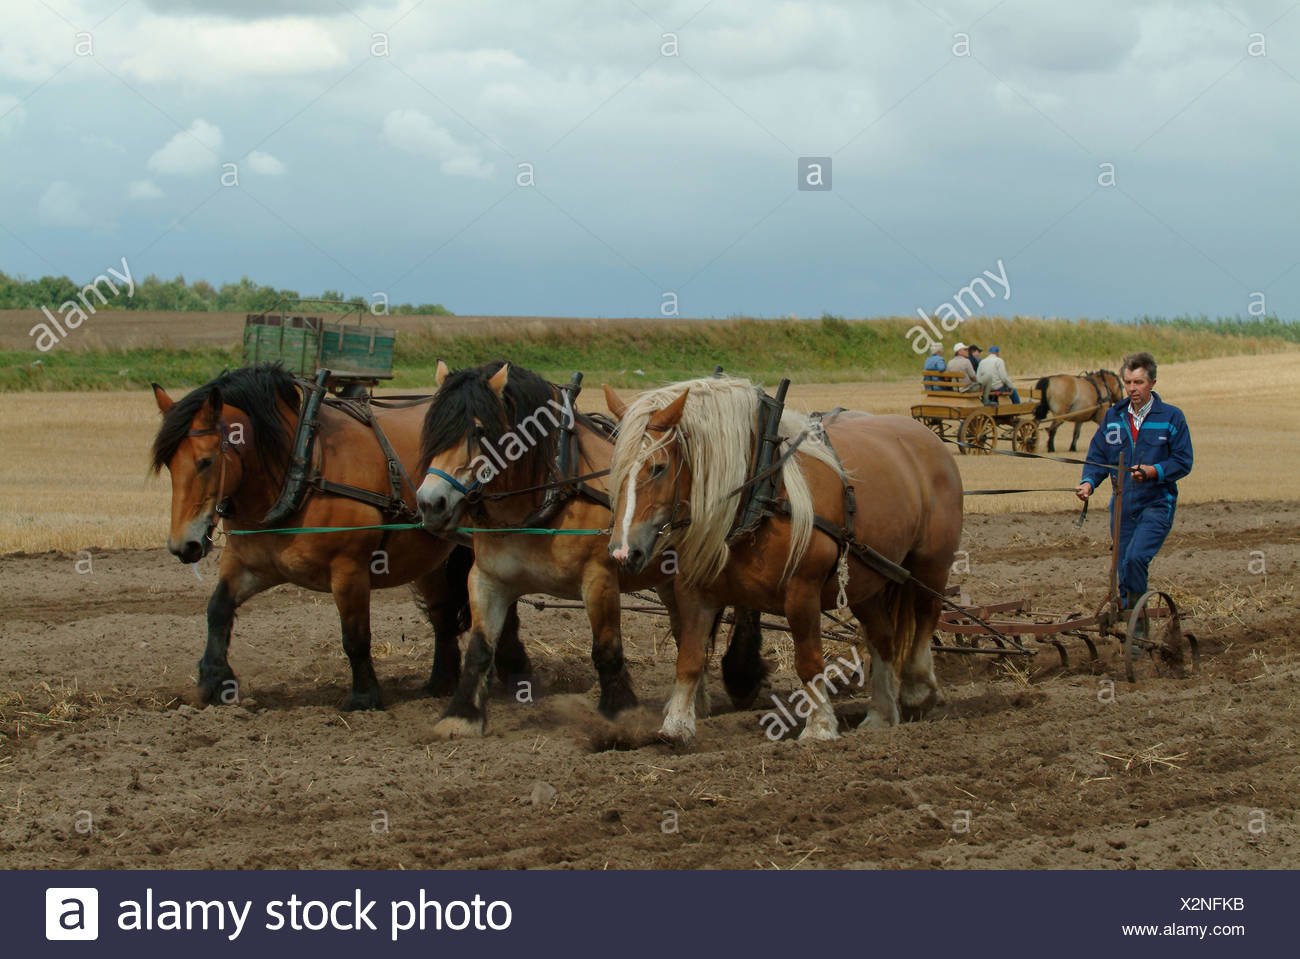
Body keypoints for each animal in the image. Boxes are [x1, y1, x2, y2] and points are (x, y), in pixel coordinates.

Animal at [150, 363, 528, 710]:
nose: (183, 545)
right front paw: (213, 681)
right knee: (443, 614)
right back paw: (440, 681)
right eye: (169, 463)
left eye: (206, 461)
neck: (300, 467)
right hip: (431, 557)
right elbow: (217, 609)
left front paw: (363, 696)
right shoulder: (246, 564)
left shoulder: (349, 568)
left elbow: (355, 635)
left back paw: (514, 674)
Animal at [415, 360, 766, 739]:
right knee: (685, 629)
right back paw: (692, 703)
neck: (548, 494)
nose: (430, 503)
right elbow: (480, 648)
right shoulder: (487, 579)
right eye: (433, 428)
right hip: (670, 577)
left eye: (479, 431)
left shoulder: (599, 577)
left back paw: (742, 677)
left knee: (745, 611)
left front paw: (620, 715)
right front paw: (460, 716)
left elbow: (607, 648)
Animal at [604, 376, 964, 744]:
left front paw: (819, 726)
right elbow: (689, 657)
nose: (623, 552)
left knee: (926, 615)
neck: (759, 495)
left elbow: (809, 662)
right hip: (867, 581)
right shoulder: (694, 591)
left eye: (658, 467)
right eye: (616, 468)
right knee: (882, 637)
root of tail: (926, 436)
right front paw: (676, 724)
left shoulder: (802, 591)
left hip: (930, 564)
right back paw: (880, 714)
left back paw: (918, 689)